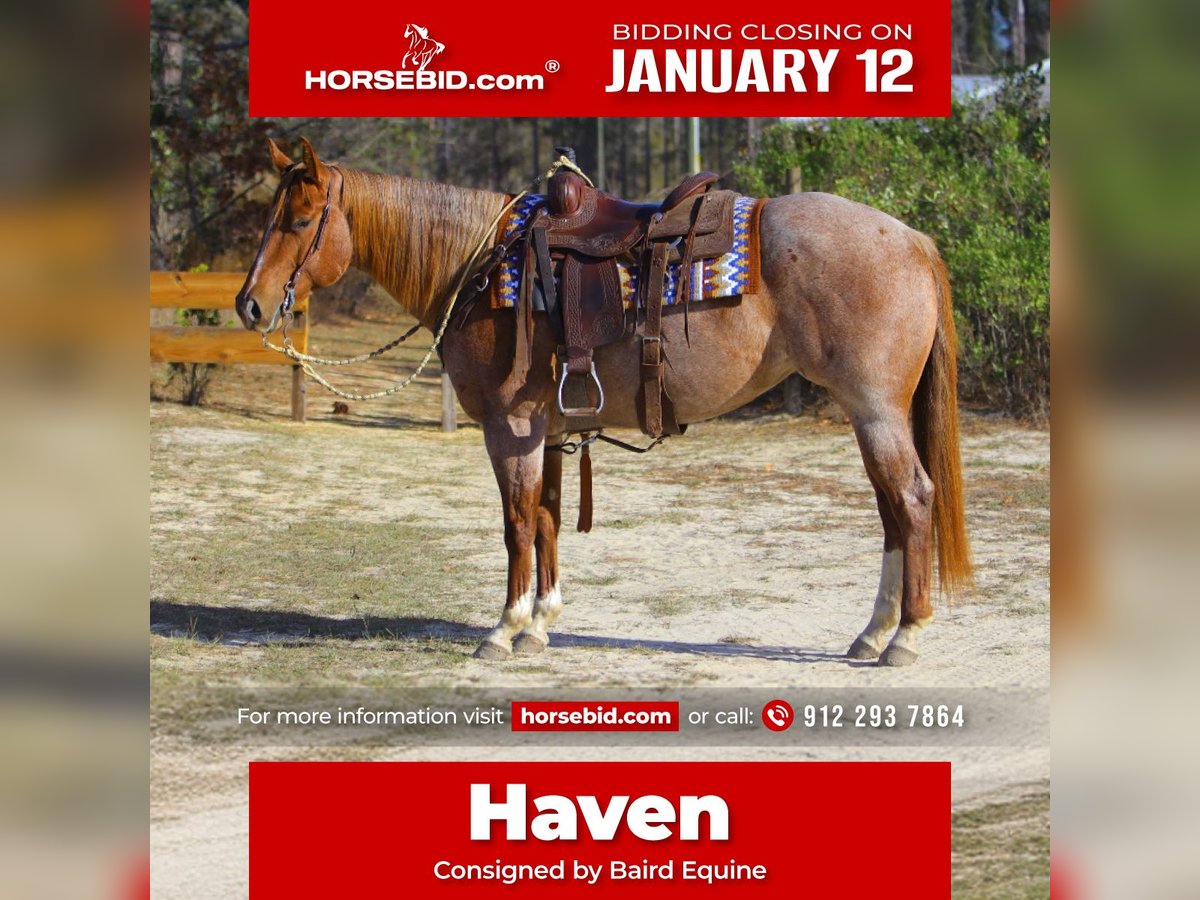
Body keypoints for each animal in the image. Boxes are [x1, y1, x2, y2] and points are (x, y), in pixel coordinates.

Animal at [234, 137, 973, 667]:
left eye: (300, 219)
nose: (249, 305)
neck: (479, 264)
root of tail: (913, 239)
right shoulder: (549, 426)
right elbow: (550, 518)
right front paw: (542, 622)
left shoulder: (509, 426)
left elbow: (516, 525)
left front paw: (503, 629)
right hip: (869, 413)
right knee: (890, 512)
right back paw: (873, 632)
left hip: (875, 409)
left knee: (911, 502)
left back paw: (904, 637)